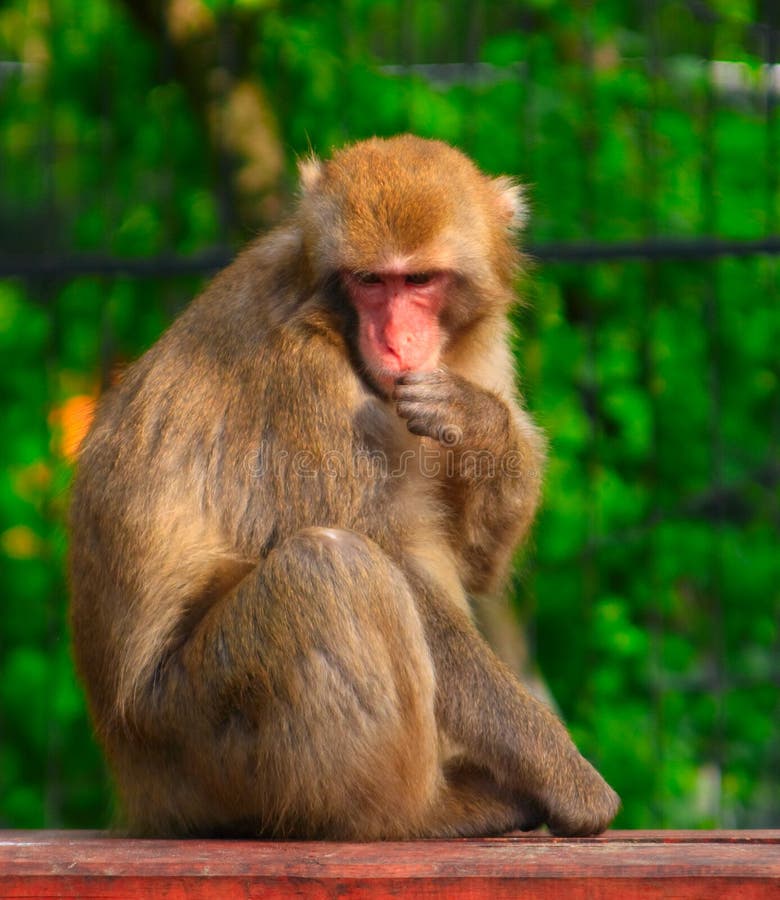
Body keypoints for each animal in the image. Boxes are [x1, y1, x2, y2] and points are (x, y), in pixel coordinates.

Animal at [69, 134, 620, 840]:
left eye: (419, 280)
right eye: (370, 281)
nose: (396, 339)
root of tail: (134, 786)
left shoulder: (478, 347)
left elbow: (475, 564)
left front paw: (479, 421)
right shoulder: (297, 376)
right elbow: (392, 564)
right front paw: (567, 775)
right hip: (193, 748)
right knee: (329, 567)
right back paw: (416, 812)